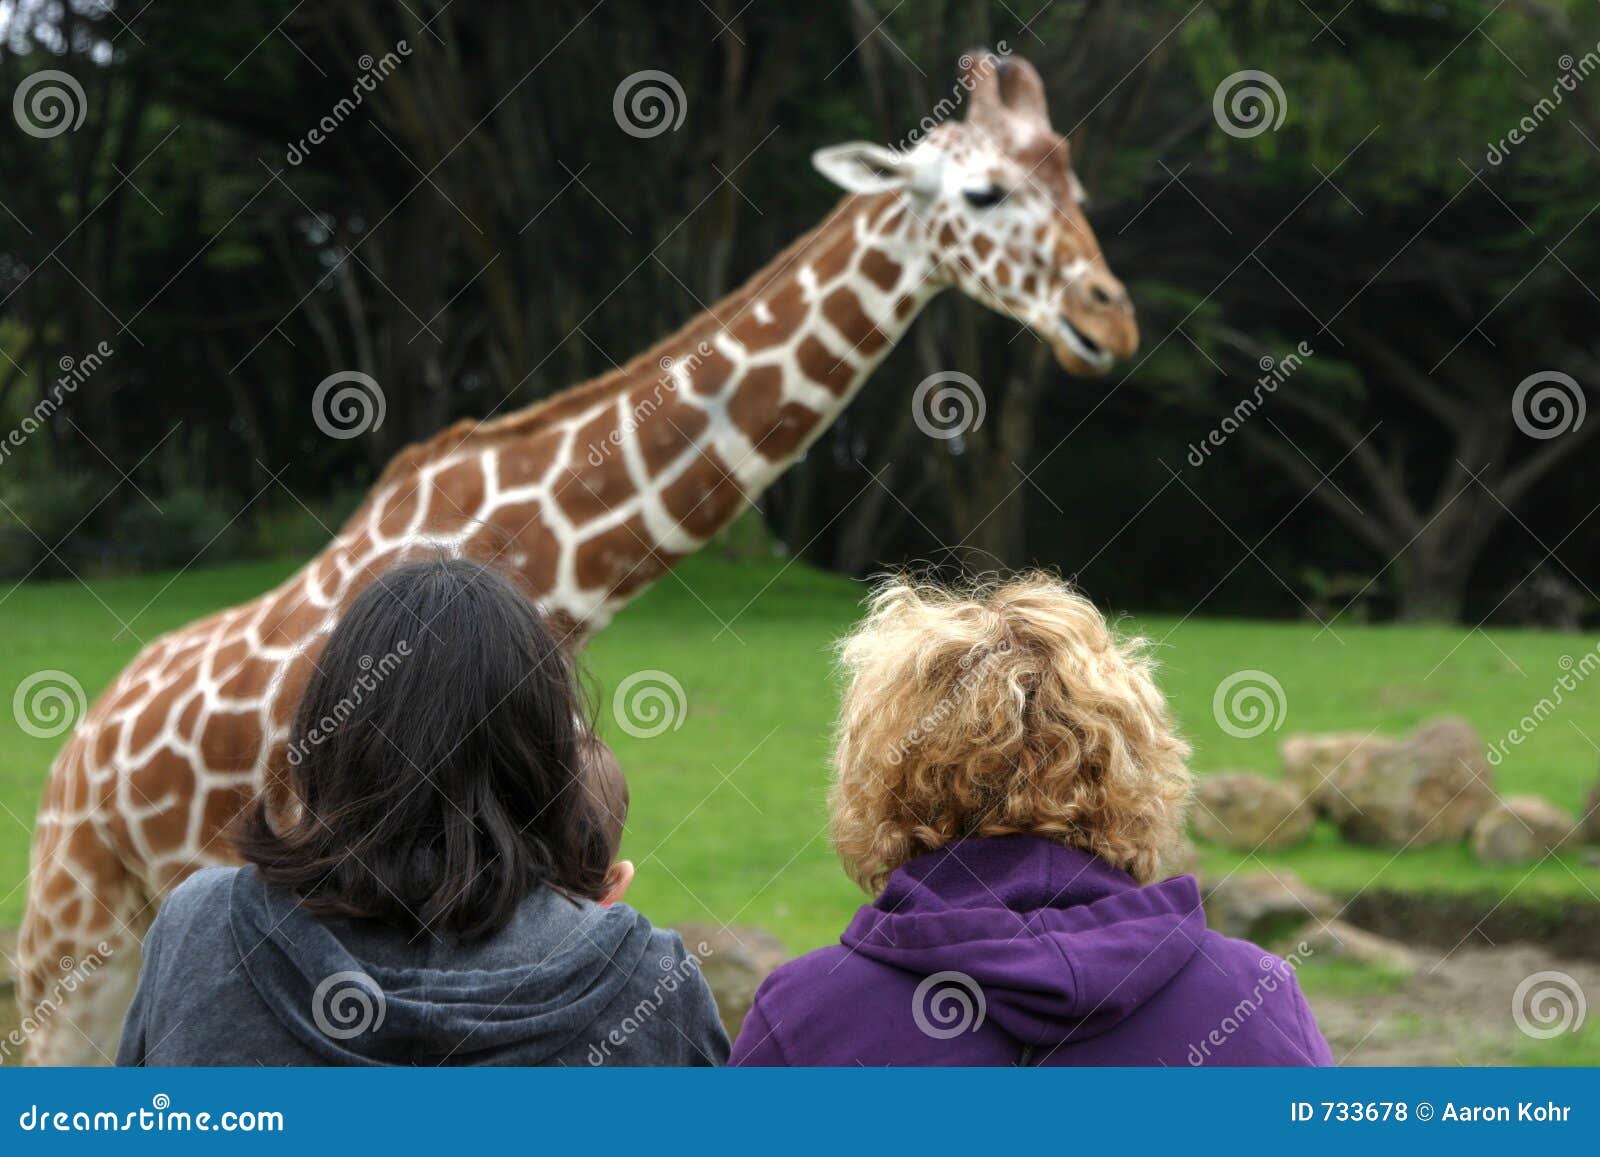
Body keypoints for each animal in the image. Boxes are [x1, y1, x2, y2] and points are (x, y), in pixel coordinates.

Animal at [17, 50, 1137, 1064]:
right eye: (984, 193)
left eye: (1075, 187)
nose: (1108, 315)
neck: (541, 570)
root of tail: (79, 748)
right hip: (72, 931)